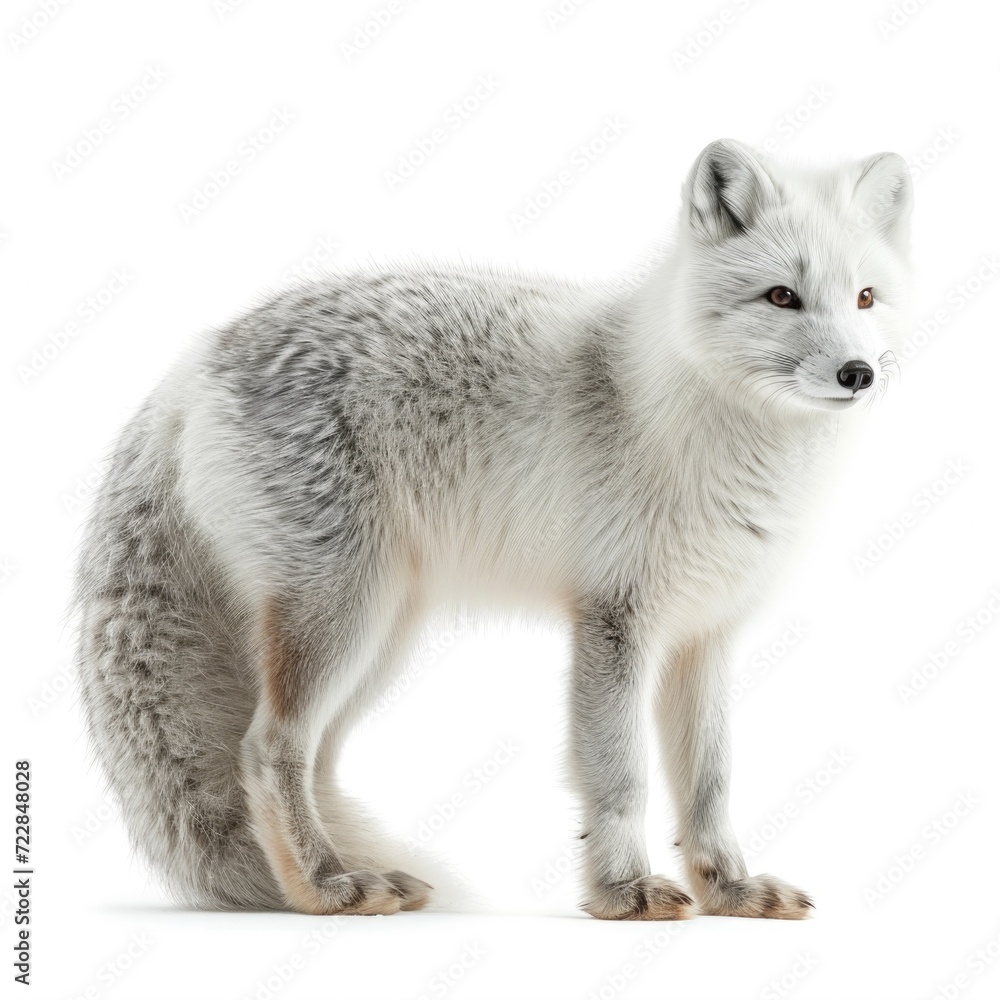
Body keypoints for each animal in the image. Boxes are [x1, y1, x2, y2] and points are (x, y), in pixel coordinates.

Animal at [73, 138, 913, 919]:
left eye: (866, 297)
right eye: (782, 296)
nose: (858, 375)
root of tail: (197, 355)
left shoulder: (705, 633)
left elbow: (709, 783)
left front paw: (730, 892)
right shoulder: (615, 619)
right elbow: (619, 777)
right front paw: (623, 892)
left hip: (379, 636)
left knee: (315, 761)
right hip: (339, 619)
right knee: (267, 751)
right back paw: (326, 887)